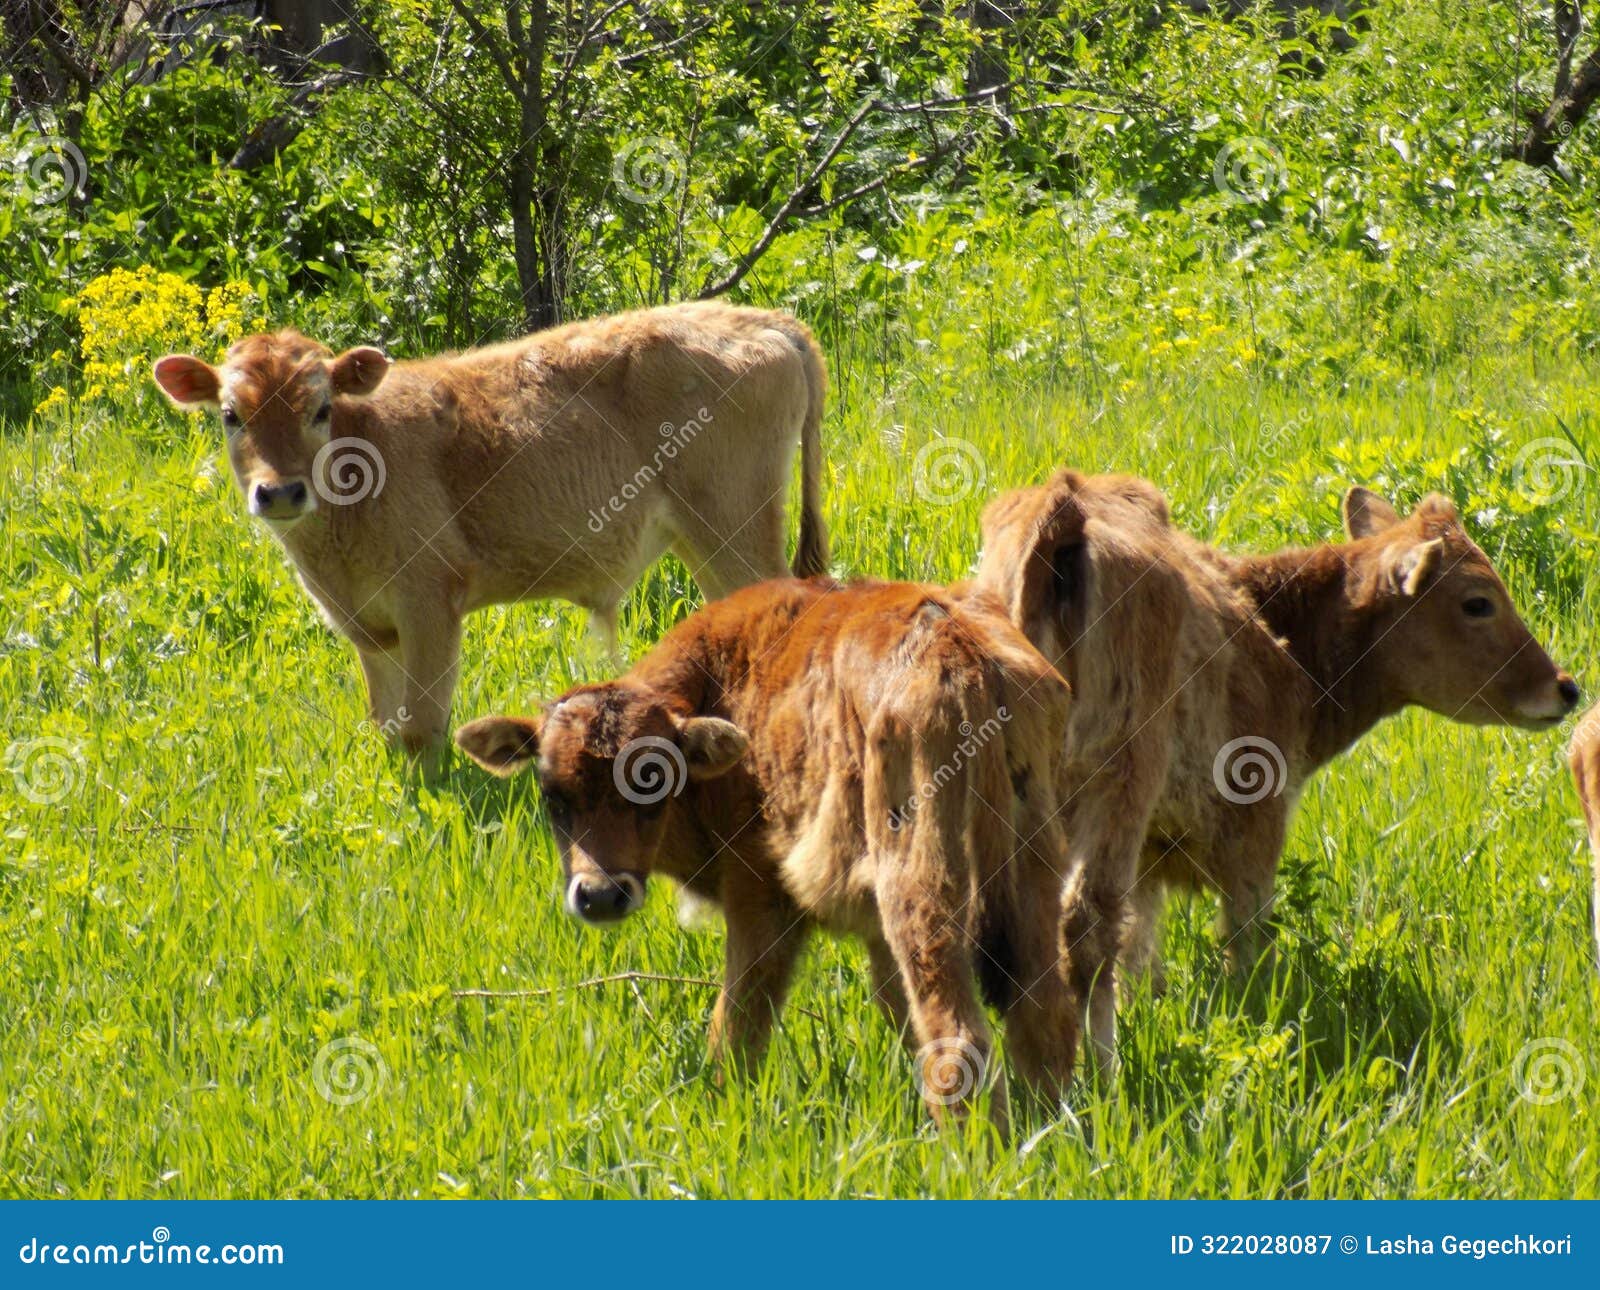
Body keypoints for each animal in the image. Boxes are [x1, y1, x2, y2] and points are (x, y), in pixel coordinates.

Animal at [151, 302, 829, 759]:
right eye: (231, 416)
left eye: (320, 409)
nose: (281, 492)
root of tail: (764, 319)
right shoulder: (368, 627)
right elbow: (386, 723)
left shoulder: (429, 604)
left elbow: (422, 727)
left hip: (737, 531)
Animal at [454, 577, 1078, 1132]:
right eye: (552, 795)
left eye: (652, 783)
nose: (601, 895)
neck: (722, 690)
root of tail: (963, 654)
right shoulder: (872, 933)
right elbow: (894, 1007)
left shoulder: (759, 903)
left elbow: (738, 1024)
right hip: (1033, 874)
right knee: (1042, 1012)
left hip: (920, 885)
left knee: (960, 1035)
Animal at [975, 469, 1580, 1075]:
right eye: (1477, 602)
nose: (1566, 687)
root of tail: (1064, 512)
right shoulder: (1252, 830)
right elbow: (1244, 935)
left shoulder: (1150, 857)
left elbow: (1140, 949)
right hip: (1118, 785)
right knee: (1085, 924)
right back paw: (1103, 1077)